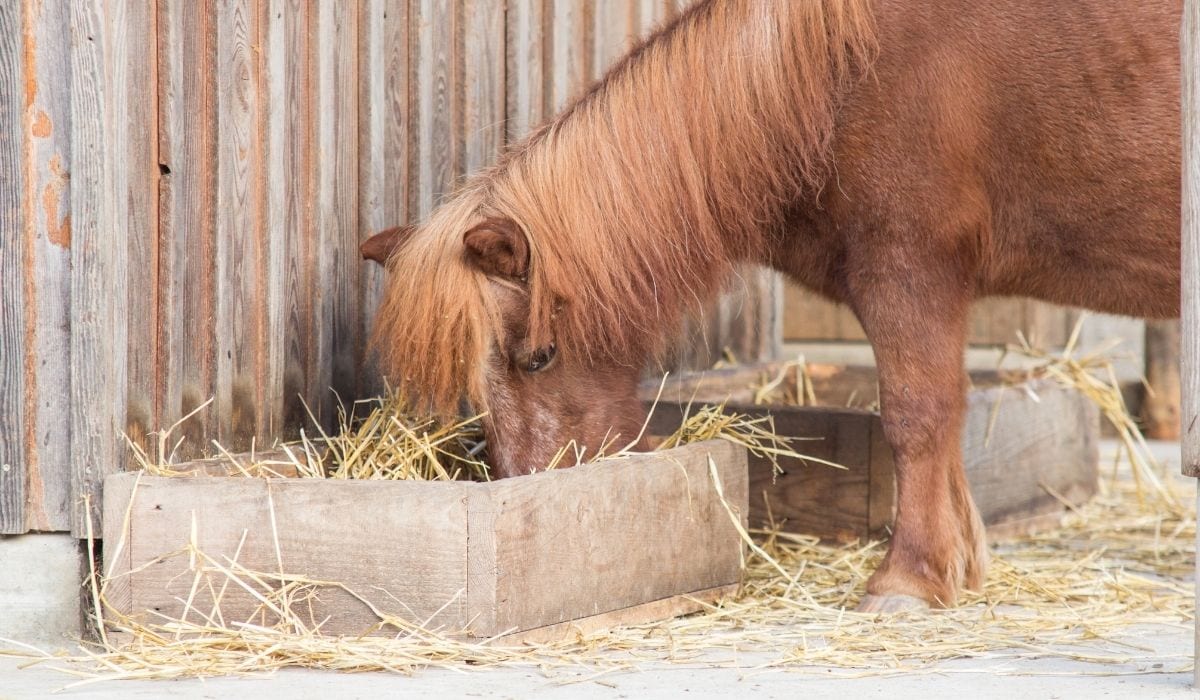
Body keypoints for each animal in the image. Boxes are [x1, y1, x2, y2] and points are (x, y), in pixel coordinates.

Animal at [362, 0, 1181, 612]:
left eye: (538, 357)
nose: (532, 494)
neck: (834, 72)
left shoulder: (908, 268)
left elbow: (918, 417)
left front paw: (907, 580)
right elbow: (946, 423)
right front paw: (955, 568)